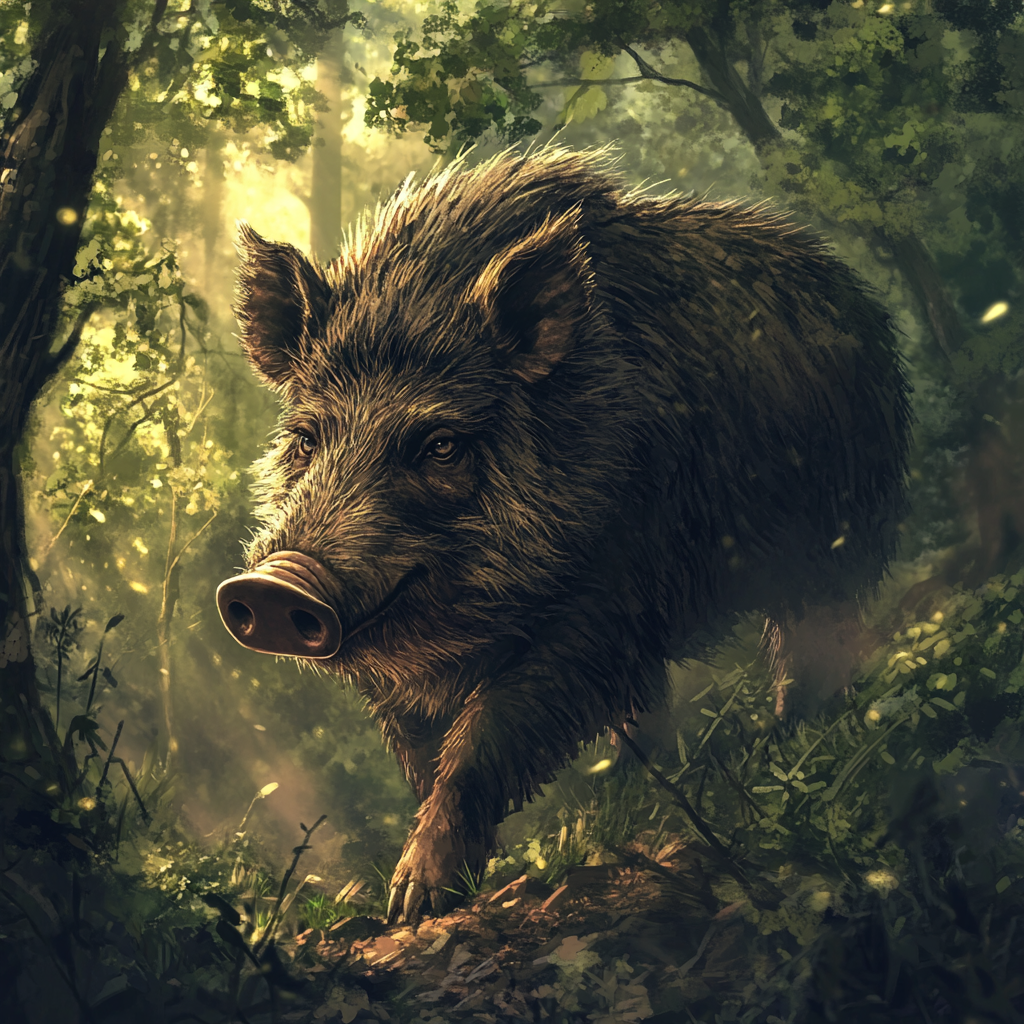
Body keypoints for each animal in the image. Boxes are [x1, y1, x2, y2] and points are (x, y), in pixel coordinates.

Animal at [216, 146, 912, 924]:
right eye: (307, 439)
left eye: (440, 445)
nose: (275, 584)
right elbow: (426, 757)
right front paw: (420, 900)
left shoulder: (611, 585)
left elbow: (488, 738)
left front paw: (414, 901)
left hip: (840, 529)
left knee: (814, 639)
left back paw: (795, 744)